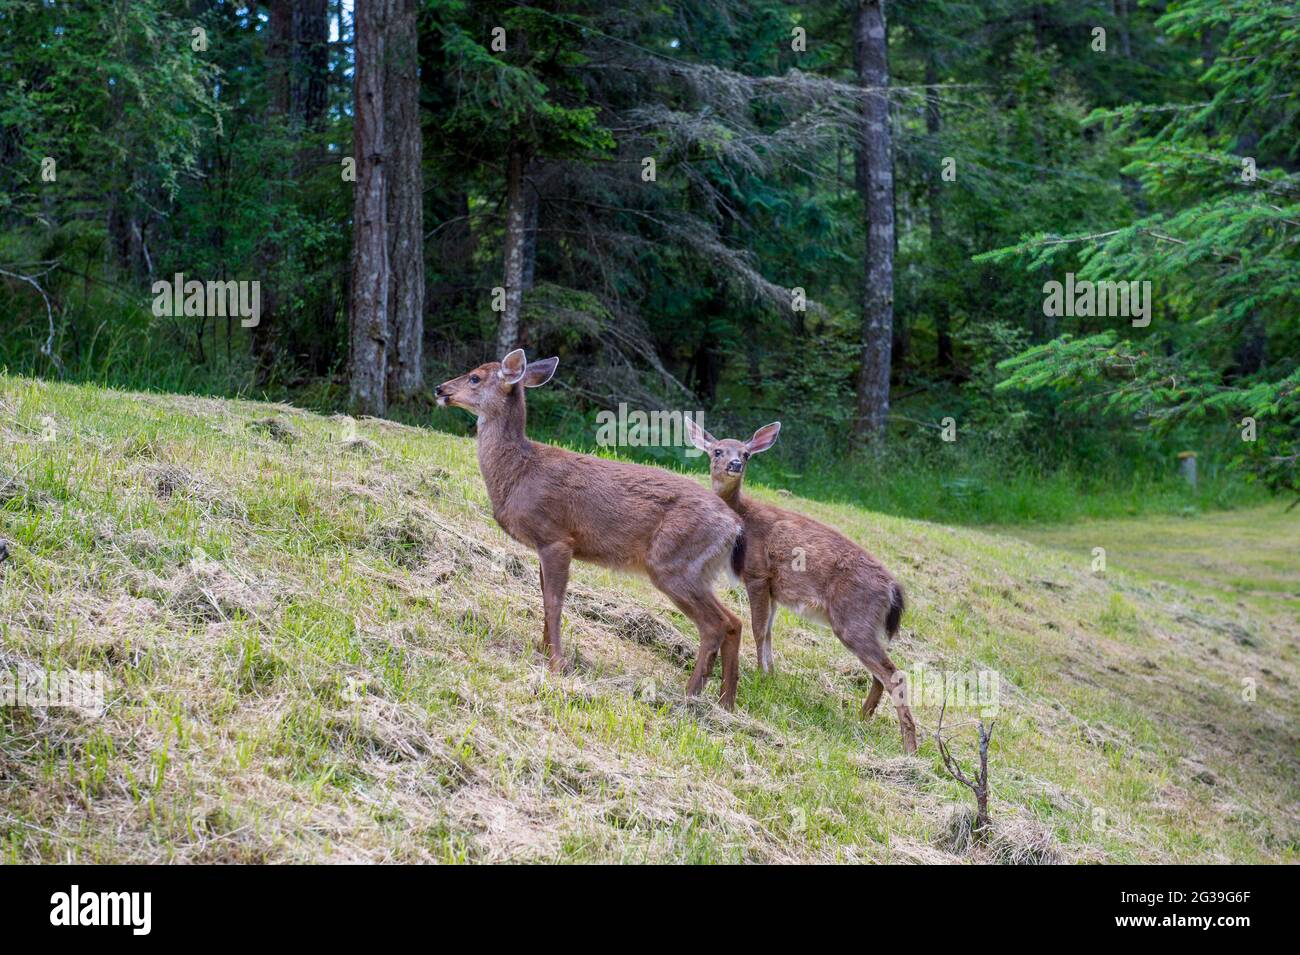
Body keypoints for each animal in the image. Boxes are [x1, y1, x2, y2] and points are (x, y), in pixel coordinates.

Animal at [435, 349, 747, 708]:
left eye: (475, 377)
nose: (440, 389)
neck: (518, 474)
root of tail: (735, 525)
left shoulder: (556, 536)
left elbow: (554, 601)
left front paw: (558, 663)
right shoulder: (543, 545)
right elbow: (543, 595)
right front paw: (542, 650)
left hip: (674, 562)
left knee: (715, 624)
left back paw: (688, 695)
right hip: (697, 570)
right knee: (735, 621)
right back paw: (725, 702)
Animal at [685, 418, 918, 753]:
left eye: (747, 453)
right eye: (717, 450)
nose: (734, 464)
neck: (744, 517)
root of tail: (893, 589)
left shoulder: (758, 573)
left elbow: (758, 628)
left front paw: (761, 674)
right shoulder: (774, 589)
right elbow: (769, 631)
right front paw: (770, 674)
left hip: (853, 618)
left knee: (894, 673)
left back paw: (909, 747)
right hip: (867, 624)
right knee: (882, 672)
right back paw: (862, 718)